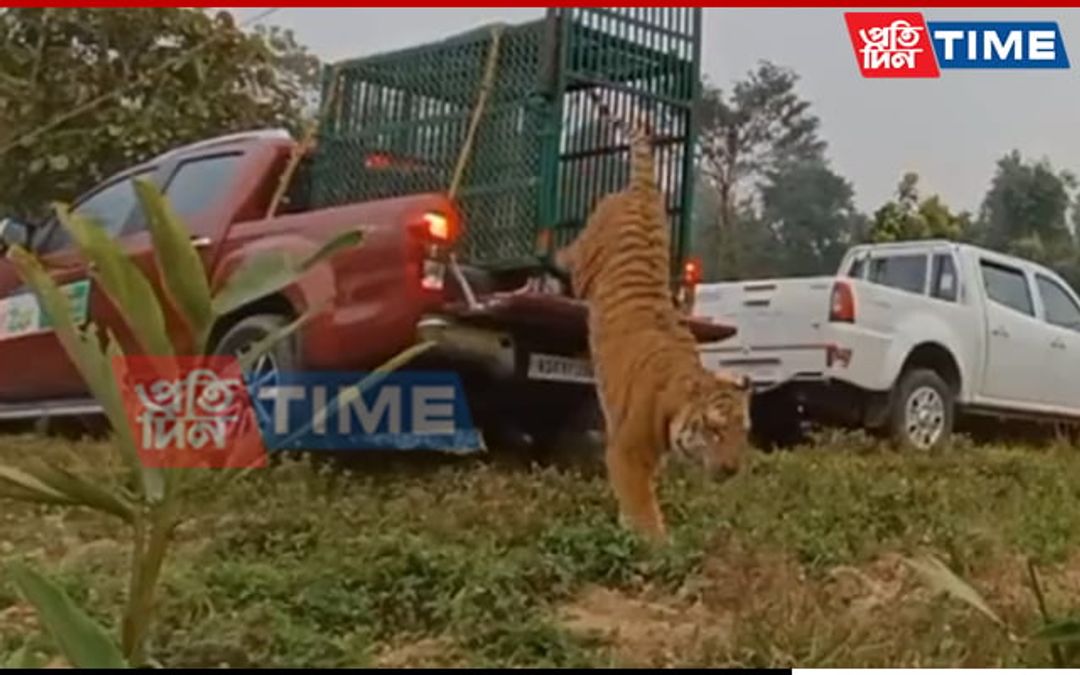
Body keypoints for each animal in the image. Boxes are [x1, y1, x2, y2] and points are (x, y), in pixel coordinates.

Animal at [555, 91, 752, 542]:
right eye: (716, 430)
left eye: (742, 432)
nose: (732, 470)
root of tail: (644, 190)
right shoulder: (628, 451)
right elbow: (643, 507)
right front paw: (657, 545)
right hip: (586, 258)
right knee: (568, 256)